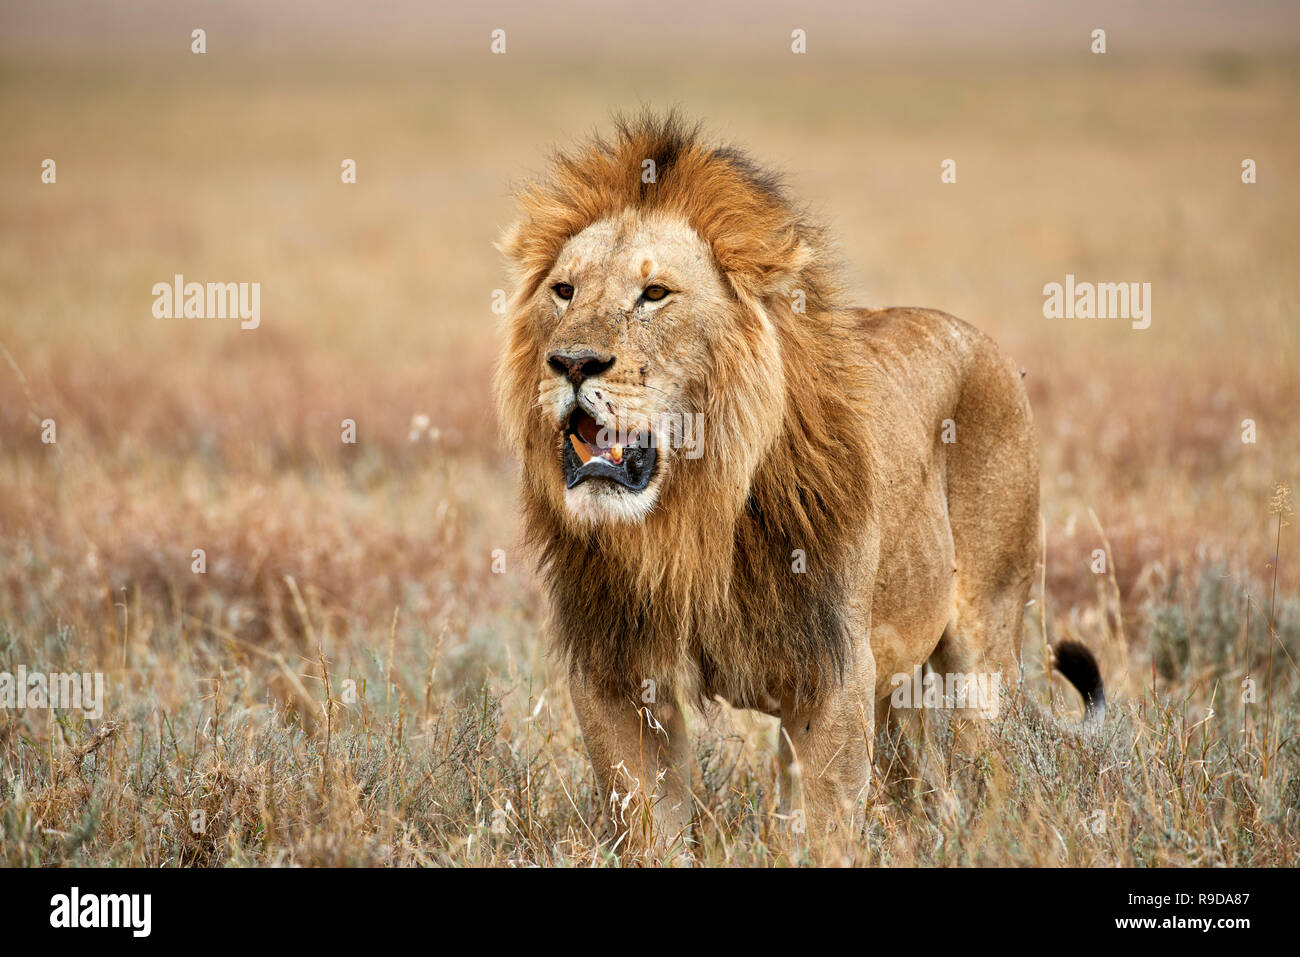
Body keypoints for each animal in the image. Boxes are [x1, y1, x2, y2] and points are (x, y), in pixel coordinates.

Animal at [494, 112, 1104, 860]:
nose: (572, 362)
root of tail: (976, 337)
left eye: (654, 293)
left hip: (982, 653)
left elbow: (826, 835)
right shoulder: (617, 680)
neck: (693, 515)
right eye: (565, 291)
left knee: (995, 776)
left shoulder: (832, 679)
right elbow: (649, 830)